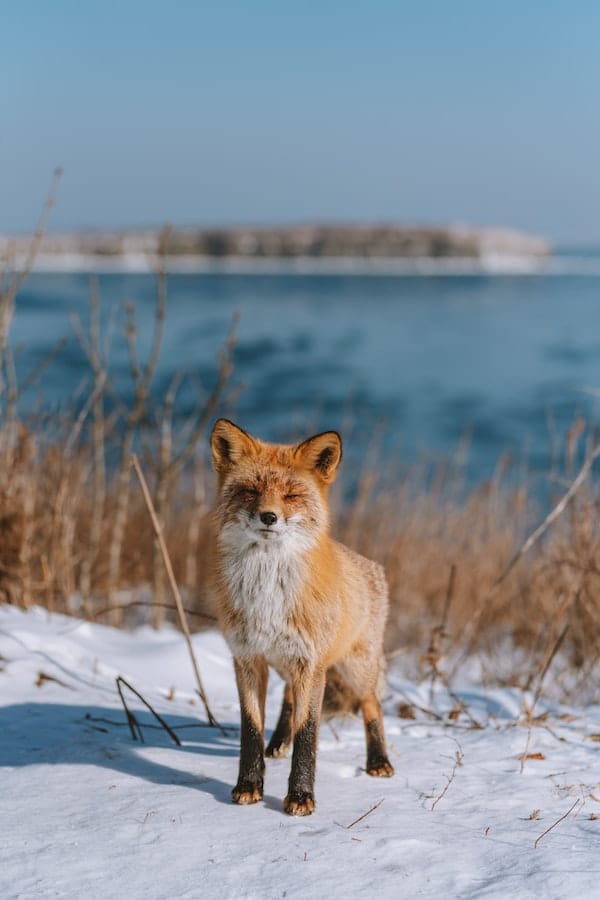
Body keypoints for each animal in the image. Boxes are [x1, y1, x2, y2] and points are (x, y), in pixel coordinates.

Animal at [208, 418, 394, 816]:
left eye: (291, 495)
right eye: (250, 491)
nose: (269, 516)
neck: (267, 592)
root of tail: (372, 567)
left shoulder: (310, 664)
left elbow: (308, 733)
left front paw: (300, 797)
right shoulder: (247, 658)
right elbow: (251, 729)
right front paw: (248, 786)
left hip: (354, 669)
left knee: (372, 705)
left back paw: (379, 761)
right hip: (286, 664)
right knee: (288, 698)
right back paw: (278, 742)